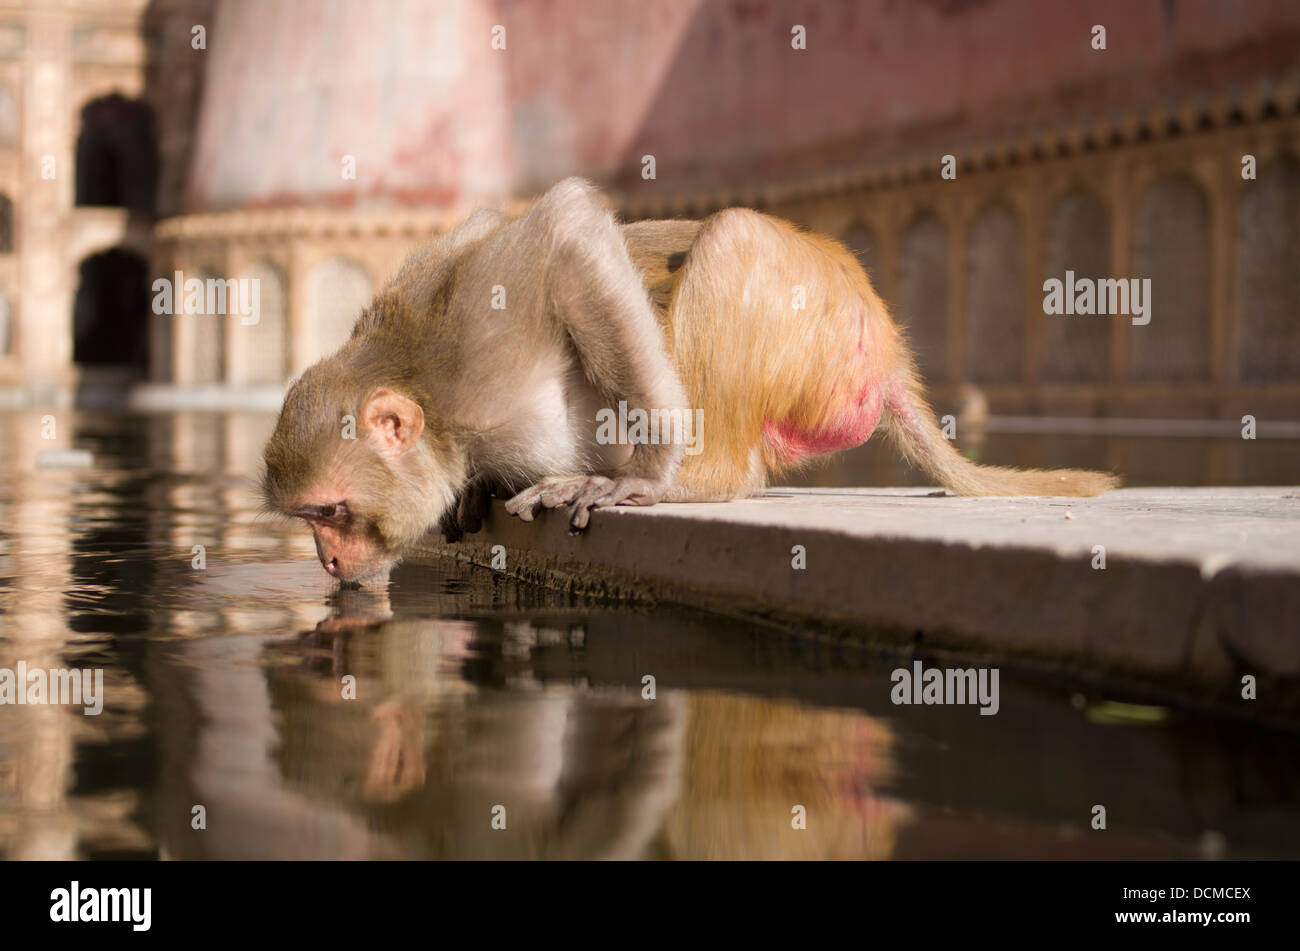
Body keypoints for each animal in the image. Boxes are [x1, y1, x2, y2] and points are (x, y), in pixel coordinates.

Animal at [262, 178, 1118, 584]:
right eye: (306, 518)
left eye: (329, 511)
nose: (327, 562)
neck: (432, 401)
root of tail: (882, 342)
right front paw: (475, 492)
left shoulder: (484, 360)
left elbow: (570, 230)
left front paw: (642, 472)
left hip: (819, 320)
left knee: (732, 238)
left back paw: (695, 476)